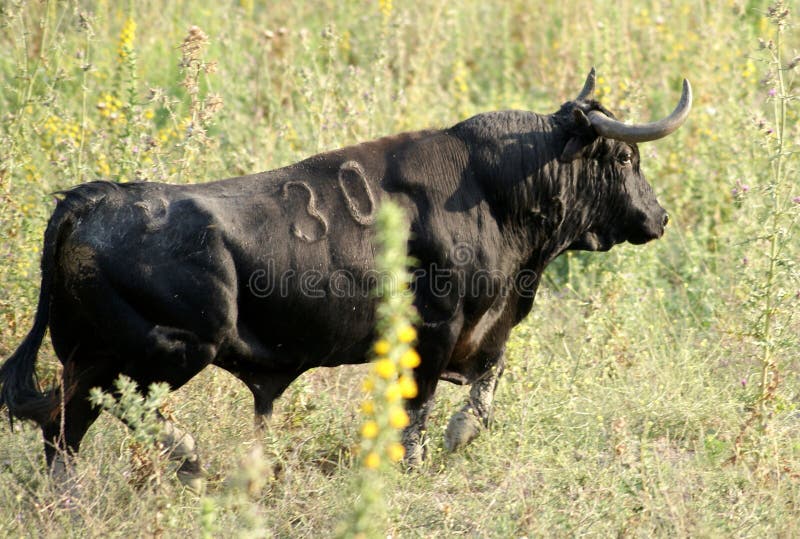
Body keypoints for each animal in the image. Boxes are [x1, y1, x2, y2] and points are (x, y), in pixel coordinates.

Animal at [0, 69, 691, 489]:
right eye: (624, 156)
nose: (658, 217)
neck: (492, 190)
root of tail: (92, 201)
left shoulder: (480, 334)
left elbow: (486, 381)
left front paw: (460, 435)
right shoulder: (435, 333)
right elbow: (420, 409)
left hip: (93, 354)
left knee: (63, 426)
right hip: (167, 350)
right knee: (98, 410)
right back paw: (189, 460)